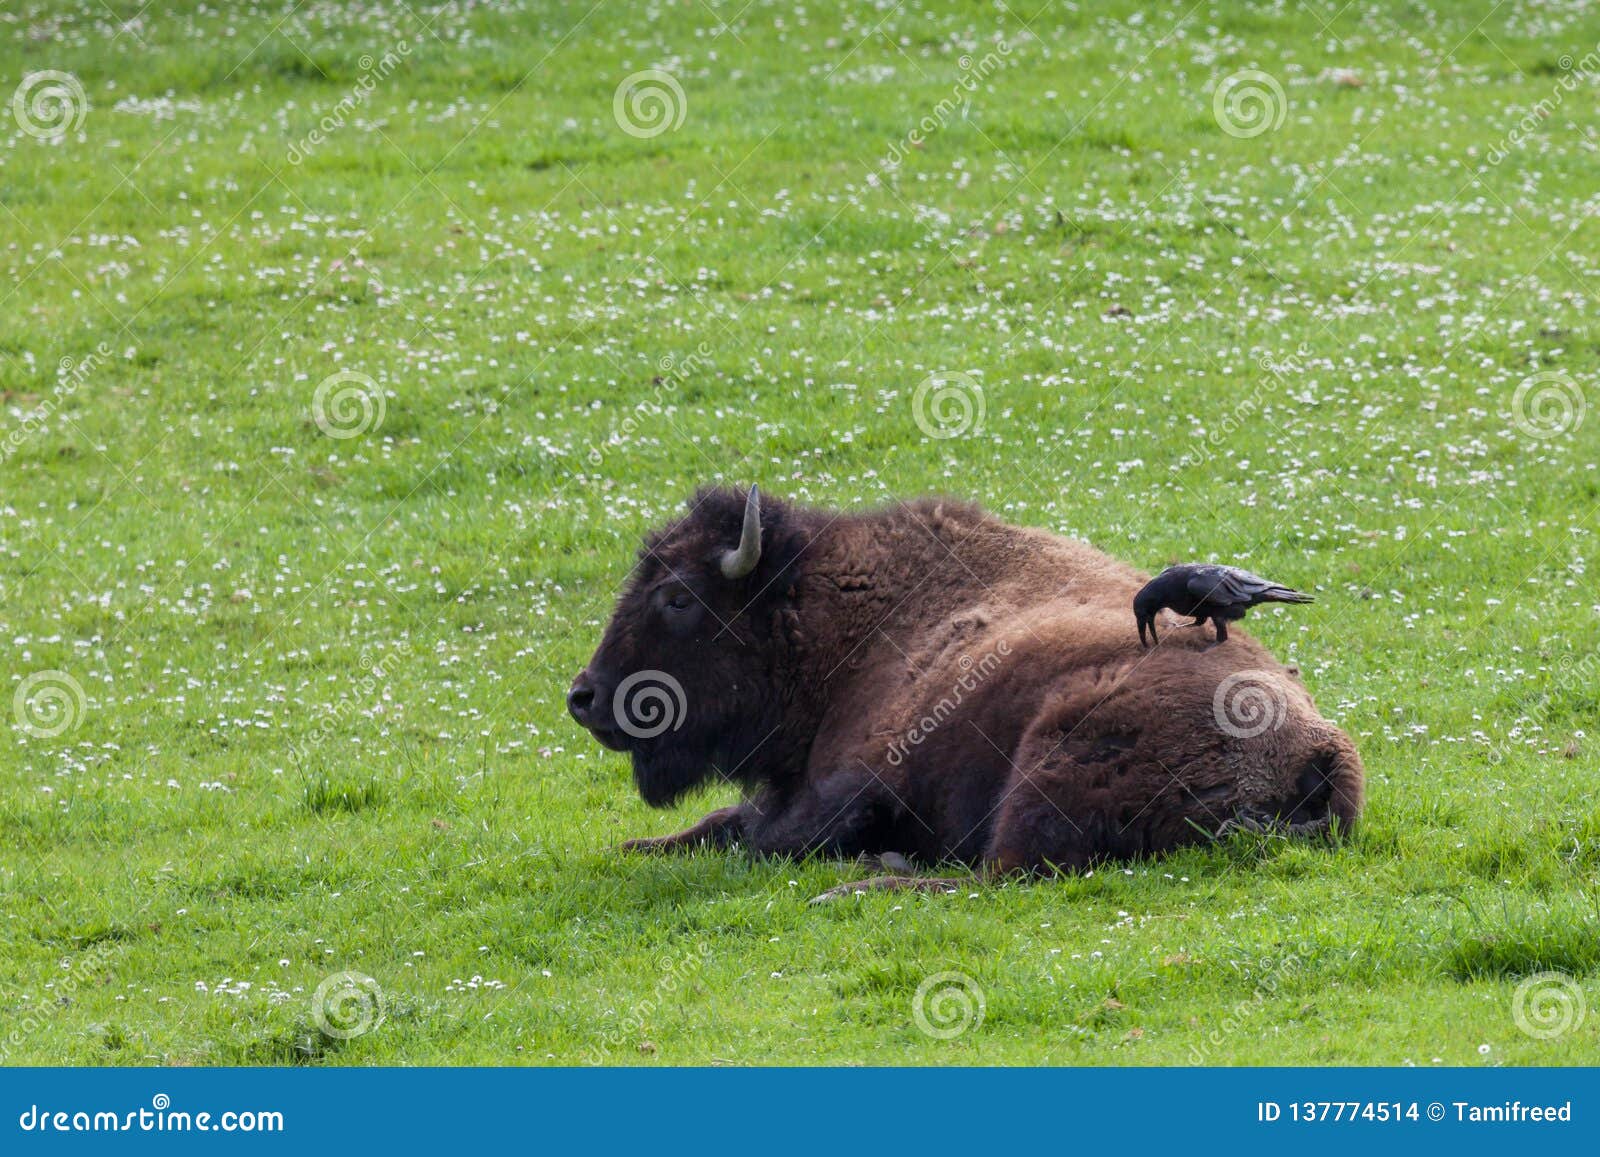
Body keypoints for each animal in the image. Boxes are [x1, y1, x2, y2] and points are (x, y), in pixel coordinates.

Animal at [568, 486, 1363, 897]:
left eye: (677, 597)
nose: (584, 696)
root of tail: (1320, 751)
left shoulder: (851, 786)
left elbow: (763, 837)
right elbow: (714, 825)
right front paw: (635, 843)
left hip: (1041, 776)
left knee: (990, 876)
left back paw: (867, 877)